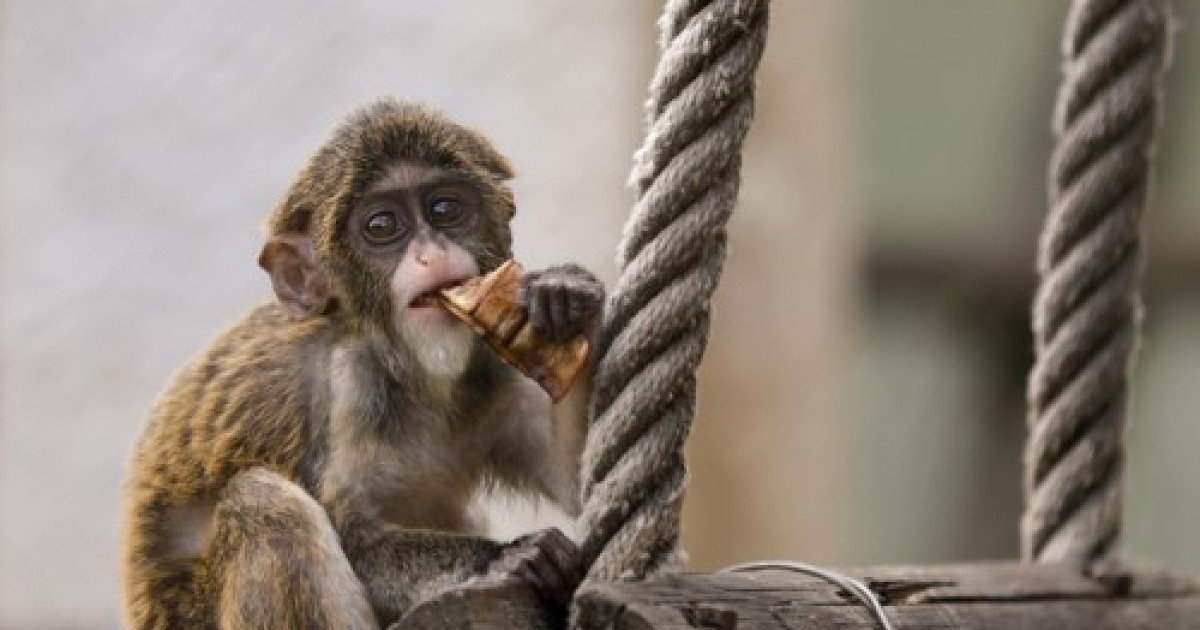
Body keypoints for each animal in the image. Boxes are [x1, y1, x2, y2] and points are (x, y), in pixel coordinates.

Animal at [119, 99, 605, 629]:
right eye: (382, 226)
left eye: (445, 209)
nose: (432, 252)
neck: (413, 373)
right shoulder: (349, 382)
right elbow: (359, 544)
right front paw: (514, 555)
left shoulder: (490, 362)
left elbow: (573, 483)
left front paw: (565, 299)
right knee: (263, 503)